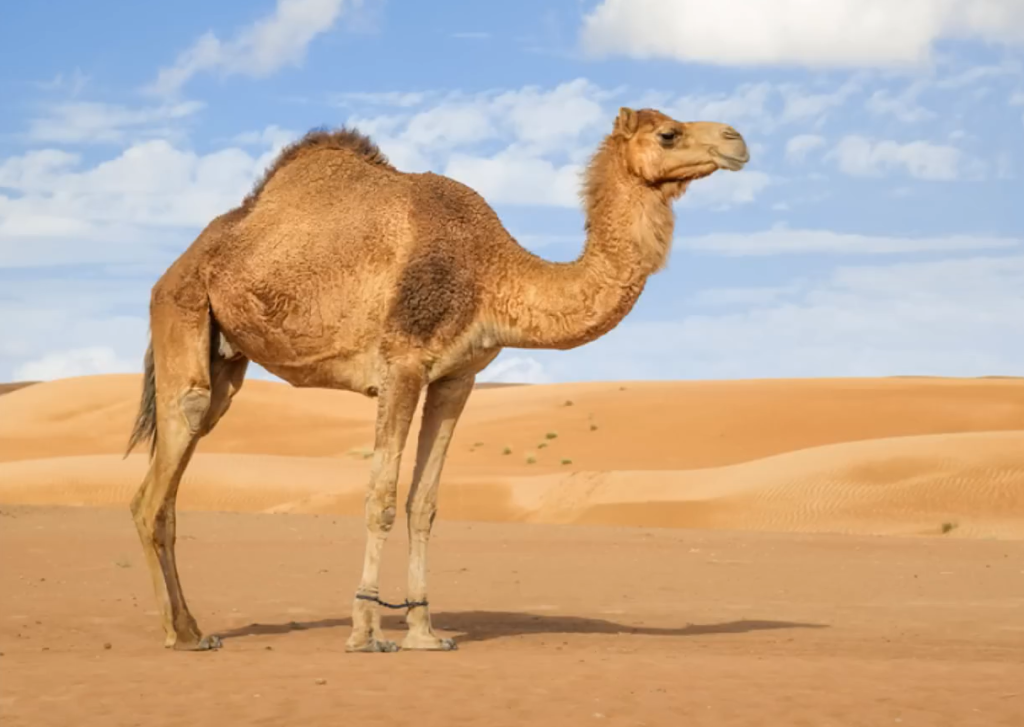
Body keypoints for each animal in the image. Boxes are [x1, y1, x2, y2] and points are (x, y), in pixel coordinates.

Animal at [125, 106, 750, 653]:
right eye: (668, 133)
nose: (737, 139)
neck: (489, 271)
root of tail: (175, 267)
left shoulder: (456, 378)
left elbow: (423, 504)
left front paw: (425, 632)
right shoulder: (401, 365)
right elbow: (380, 496)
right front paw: (366, 633)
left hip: (225, 357)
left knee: (173, 476)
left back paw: (190, 628)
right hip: (183, 308)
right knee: (164, 466)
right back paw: (182, 635)